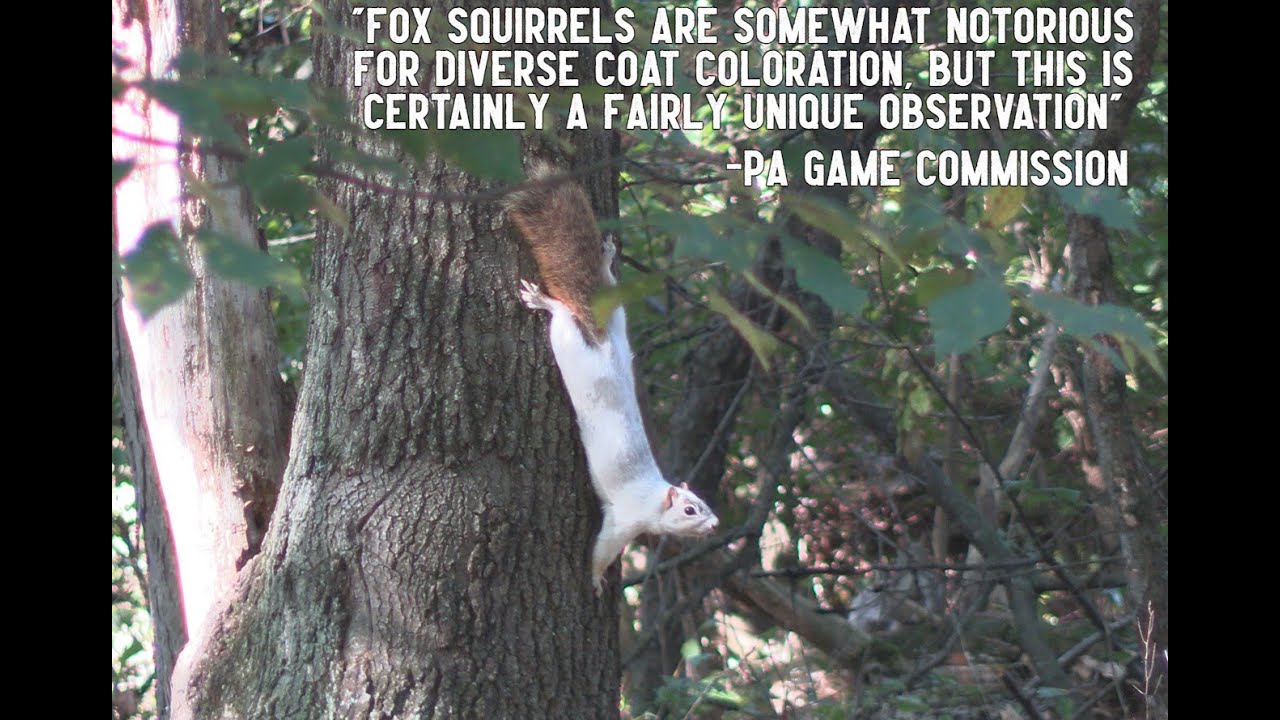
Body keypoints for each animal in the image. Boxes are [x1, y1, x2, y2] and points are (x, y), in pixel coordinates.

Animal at [506, 162, 719, 595]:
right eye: (691, 510)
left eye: (706, 504)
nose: (715, 525)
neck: (654, 497)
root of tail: (606, 345)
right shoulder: (625, 518)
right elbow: (602, 548)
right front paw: (595, 577)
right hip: (570, 348)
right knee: (562, 318)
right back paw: (545, 301)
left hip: (620, 317)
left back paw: (605, 259)